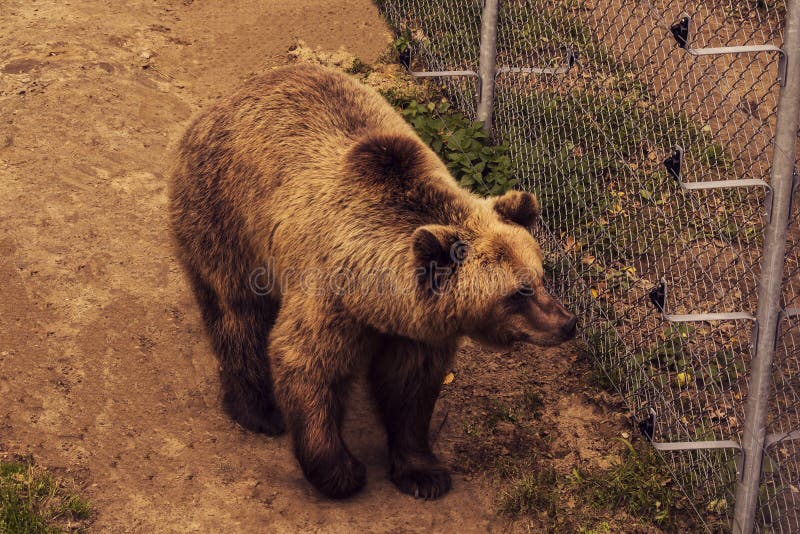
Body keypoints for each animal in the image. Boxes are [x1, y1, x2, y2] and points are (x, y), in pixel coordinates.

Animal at [169, 63, 577, 500]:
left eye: (541, 276)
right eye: (517, 292)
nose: (567, 323)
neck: (377, 297)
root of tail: (226, 101)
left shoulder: (417, 328)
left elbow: (410, 388)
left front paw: (423, 473)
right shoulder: (330, 296)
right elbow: (307, 361)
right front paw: (341, 471)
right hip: (225, 215)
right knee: (236, 311)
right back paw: (257, 410)